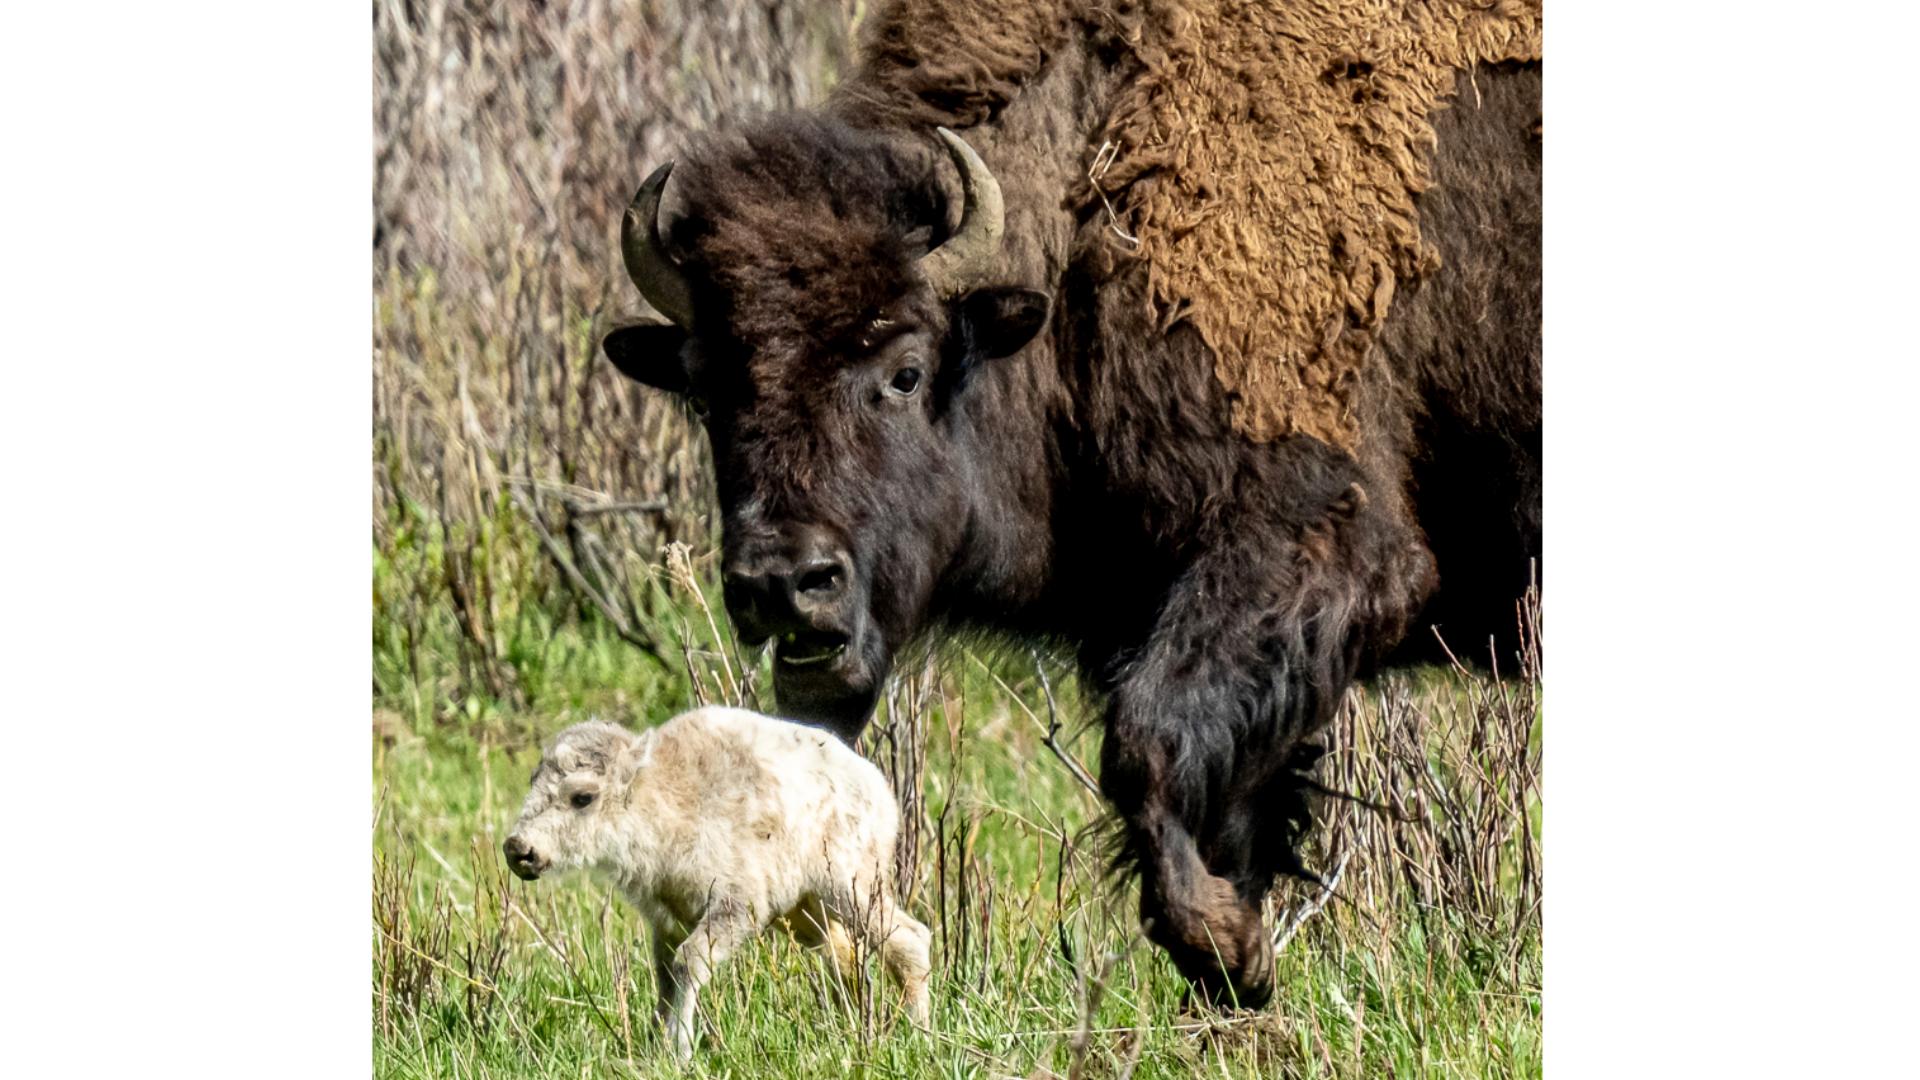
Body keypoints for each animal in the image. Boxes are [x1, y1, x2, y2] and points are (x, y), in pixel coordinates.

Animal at [597, 0, 1541, 1007]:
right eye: (704, 392)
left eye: (906, 370)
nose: (784, 584)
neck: (1095, 209)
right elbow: (1220, 802)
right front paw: (1237, 963)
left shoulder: (1320, 547)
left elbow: (1146, 746)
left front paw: (1226, 948)